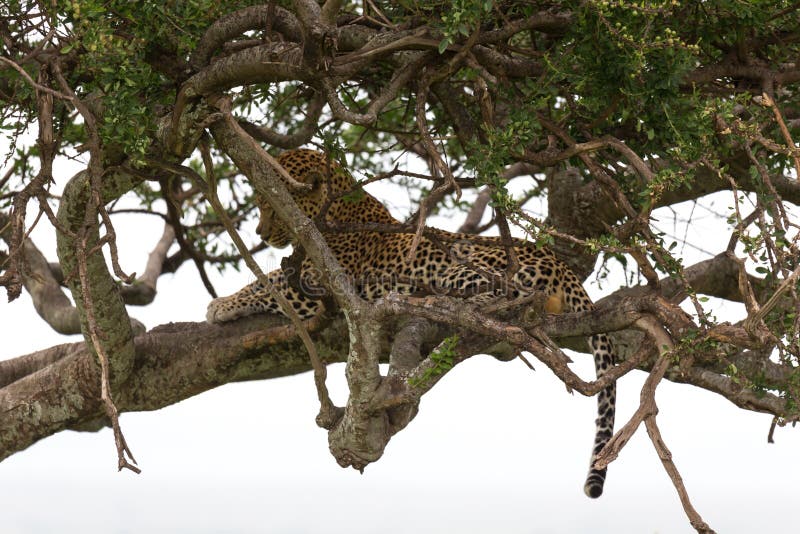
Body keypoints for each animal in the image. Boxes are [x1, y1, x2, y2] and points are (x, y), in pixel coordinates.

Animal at [206, 148, 617, 498]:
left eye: (270, 206)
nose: (261, 233)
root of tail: (559, 263)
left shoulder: (314, 285)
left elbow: (266, 282)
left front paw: (220, 304)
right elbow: (270, 279)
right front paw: (223, 303)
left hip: (459, 266)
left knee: (509, 296)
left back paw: (446, 304)